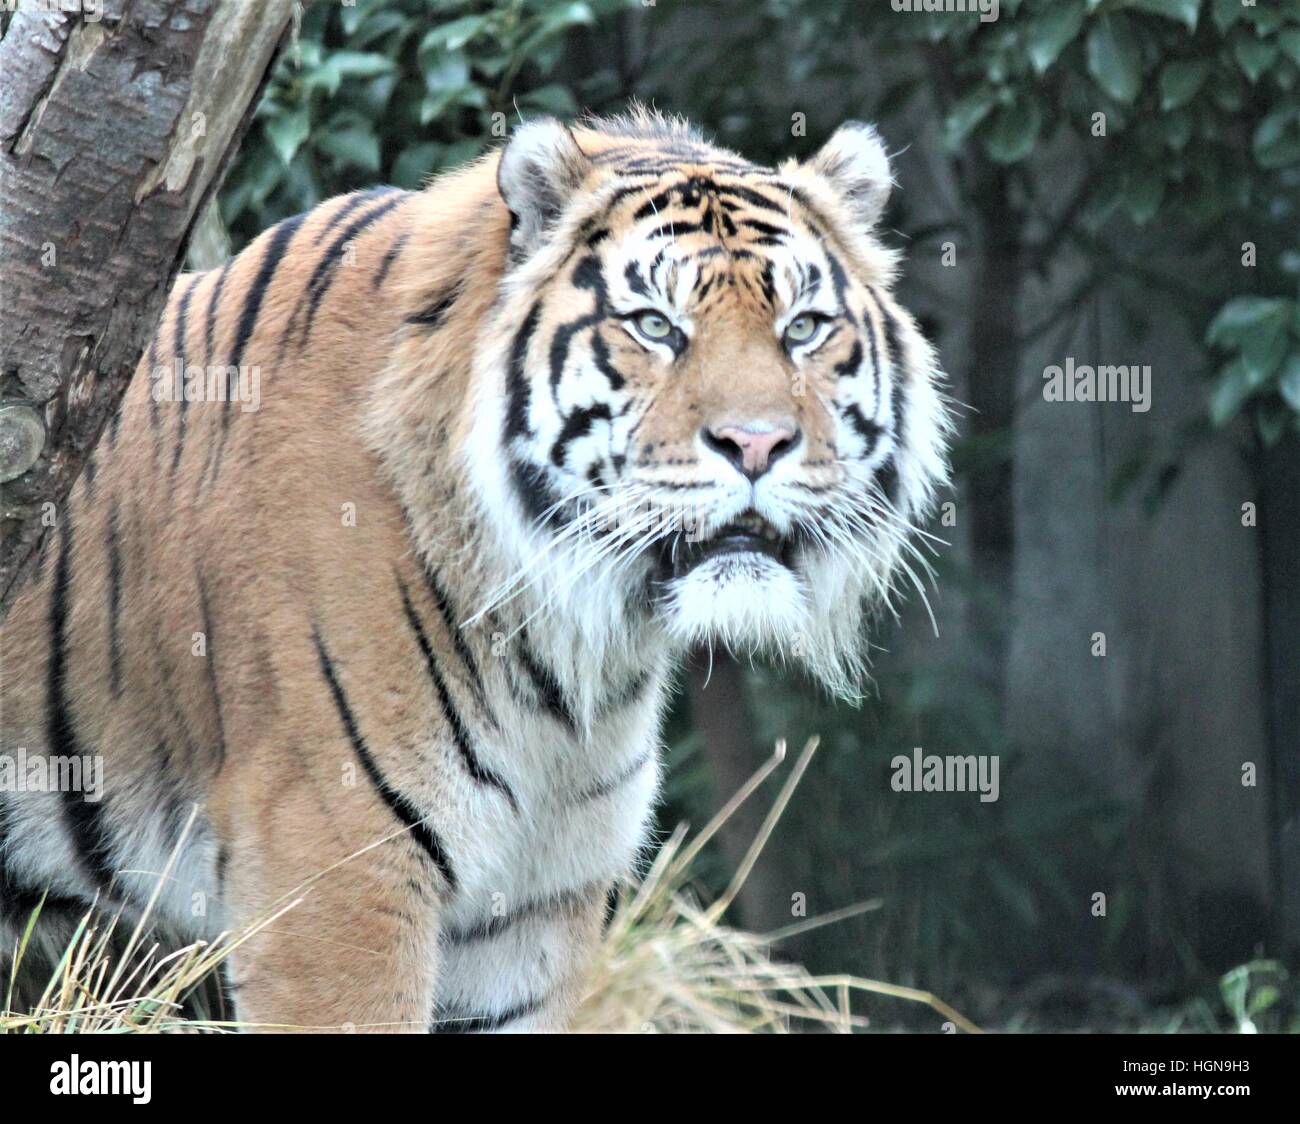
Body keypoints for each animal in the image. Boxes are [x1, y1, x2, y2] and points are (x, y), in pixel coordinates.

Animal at [0, 109, 951, 1032]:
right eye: (654, 325)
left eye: (804, 329)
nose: (756, 443)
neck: (573, 667)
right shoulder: (331, 866)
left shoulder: (532, 906)